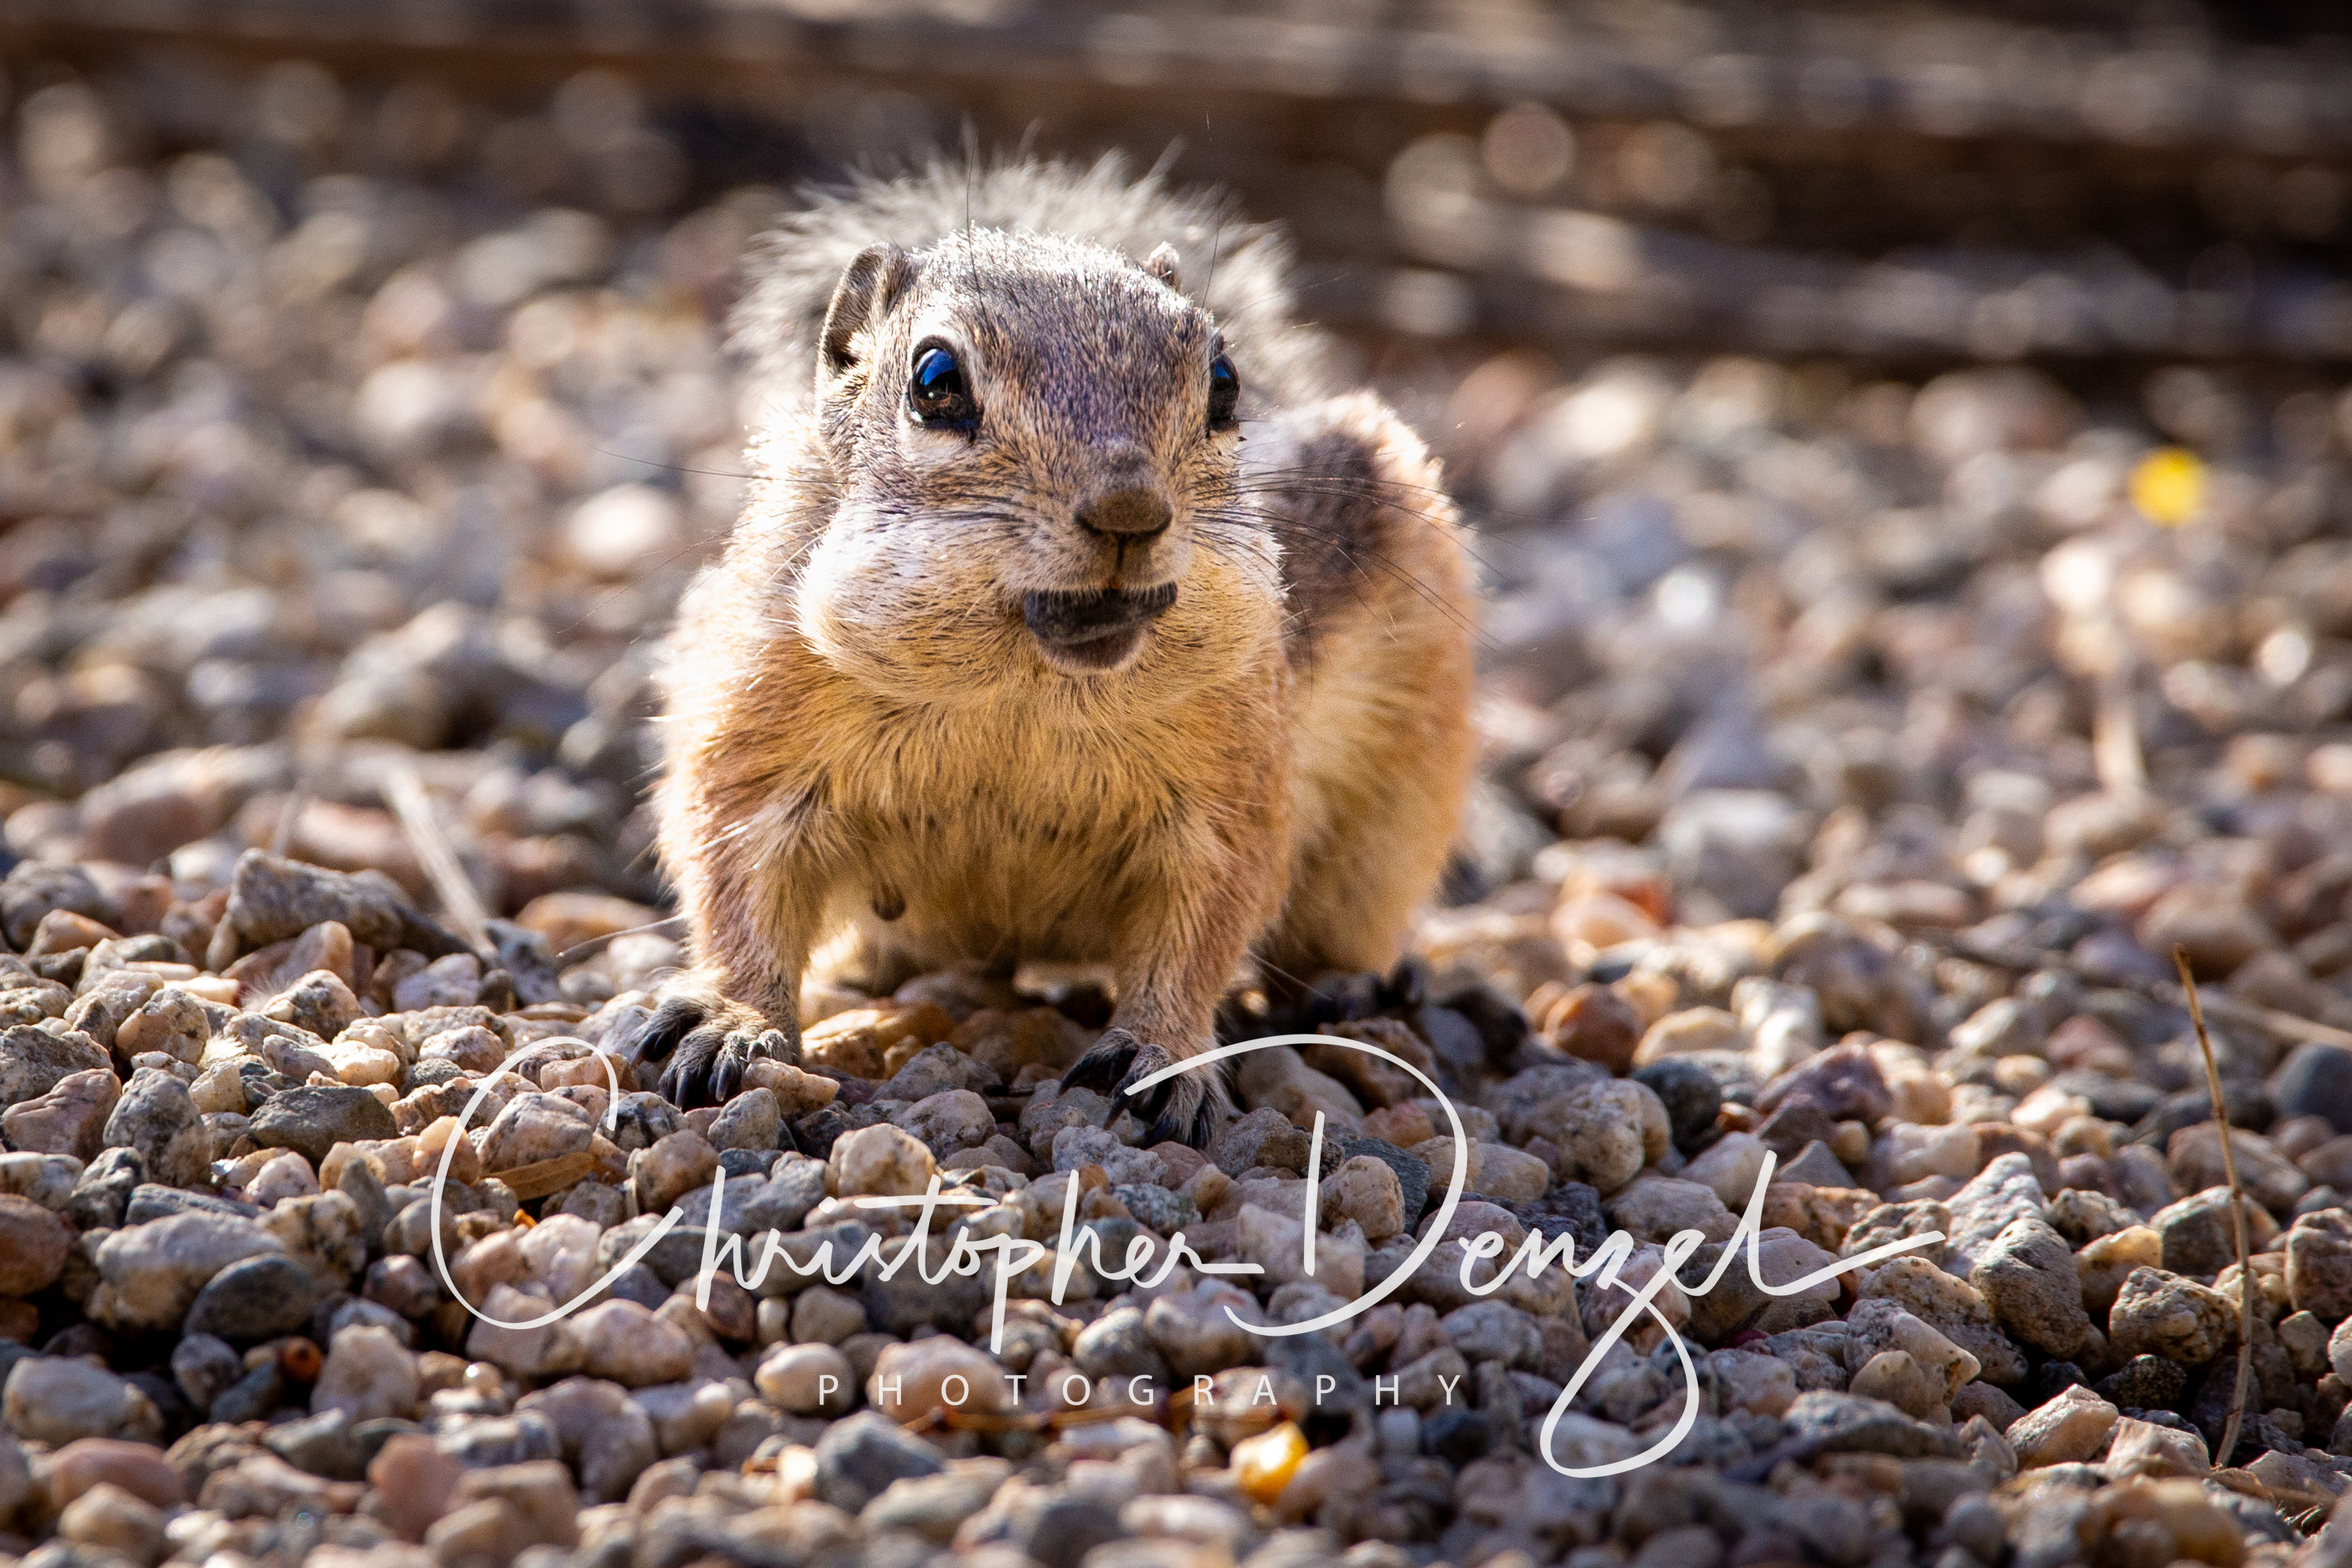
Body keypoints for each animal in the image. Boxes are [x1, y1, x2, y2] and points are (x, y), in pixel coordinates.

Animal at [629, 154, 1474, 1146]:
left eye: (1226, 380)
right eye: (935, 380)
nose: (1129, 512)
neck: (1024, 688)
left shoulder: (1231, 784)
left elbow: (1206, 919)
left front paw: (1163, 1055)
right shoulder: (760, 717)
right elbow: (738, 874)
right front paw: (734, 1018)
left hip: (1394, 802)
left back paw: (1358, 983)